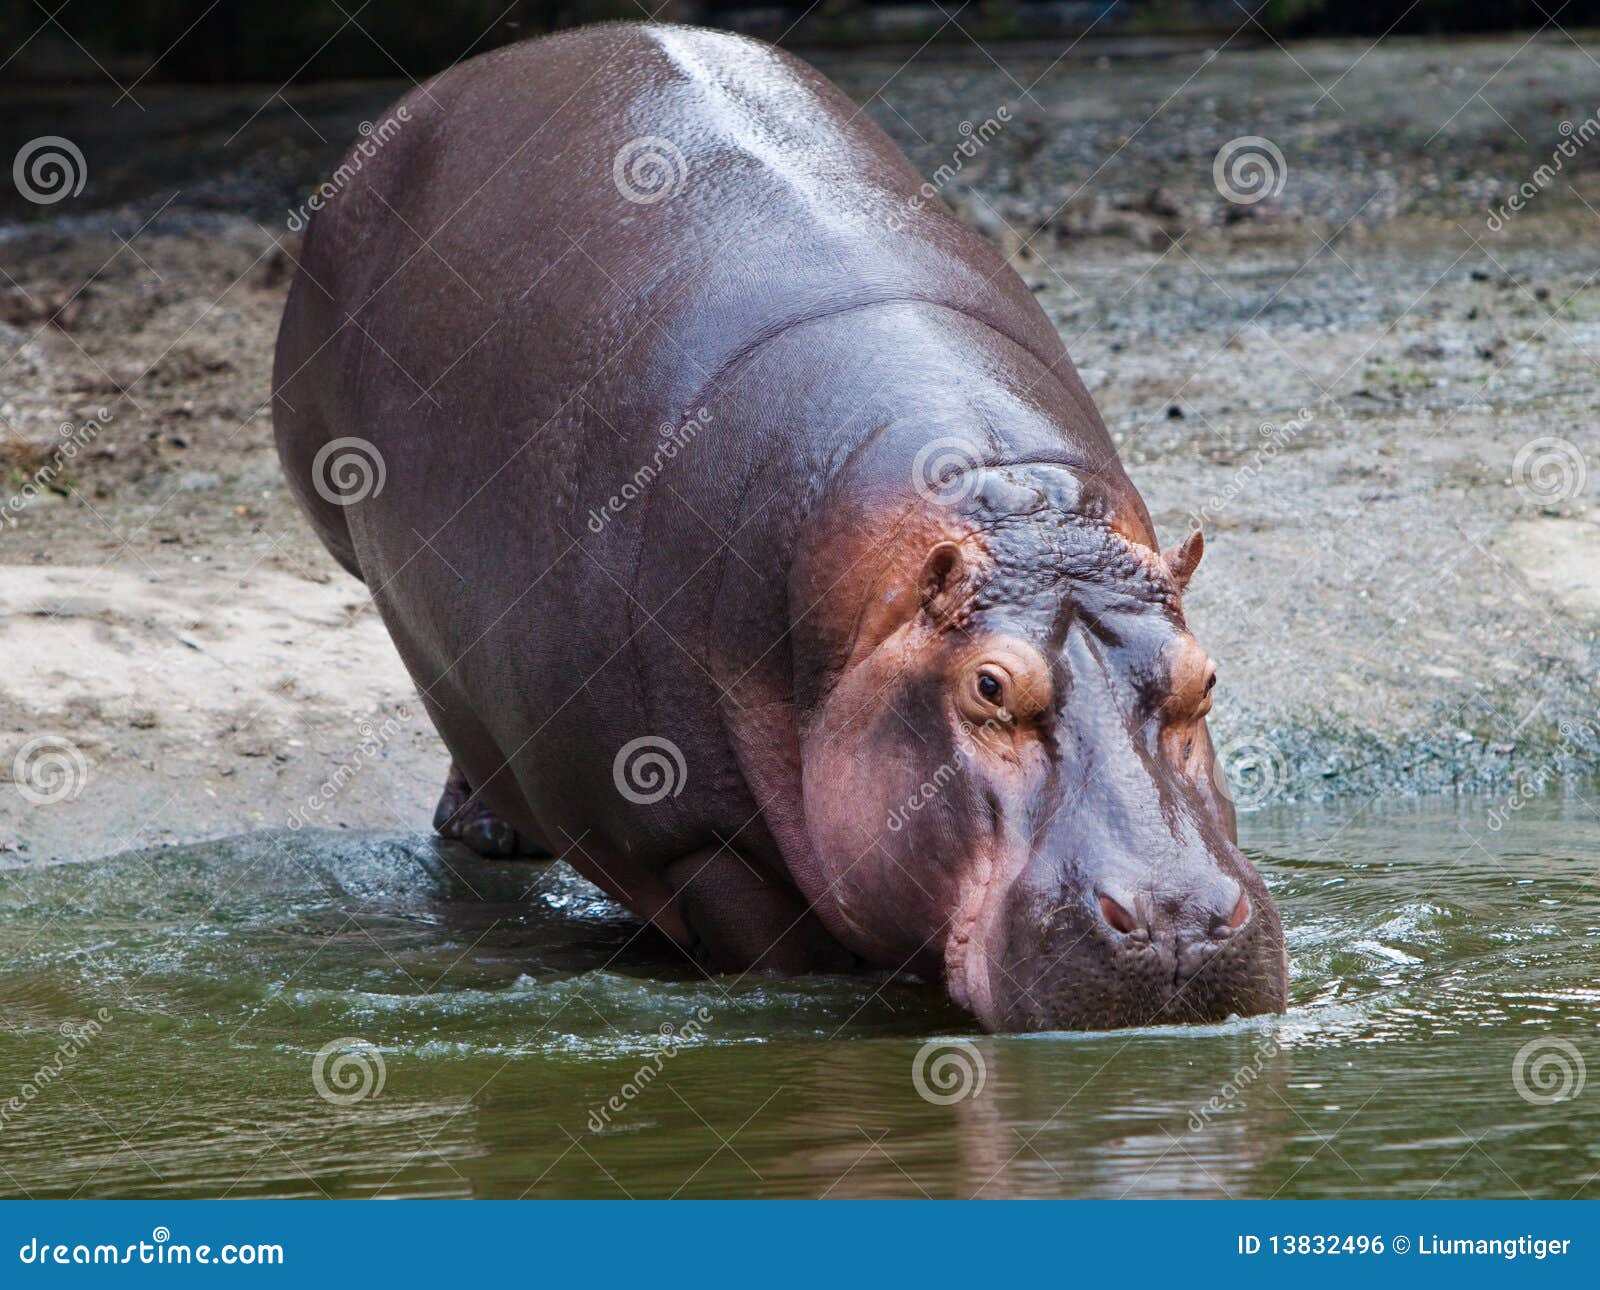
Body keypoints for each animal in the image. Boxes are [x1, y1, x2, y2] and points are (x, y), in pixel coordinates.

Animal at [272, 22, 1288, 1031]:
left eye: (1205, 676)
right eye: (989, 687)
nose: (1178, 920)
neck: (1009, 507)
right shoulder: (694, 839)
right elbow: (778, 946)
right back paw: (486, 832)